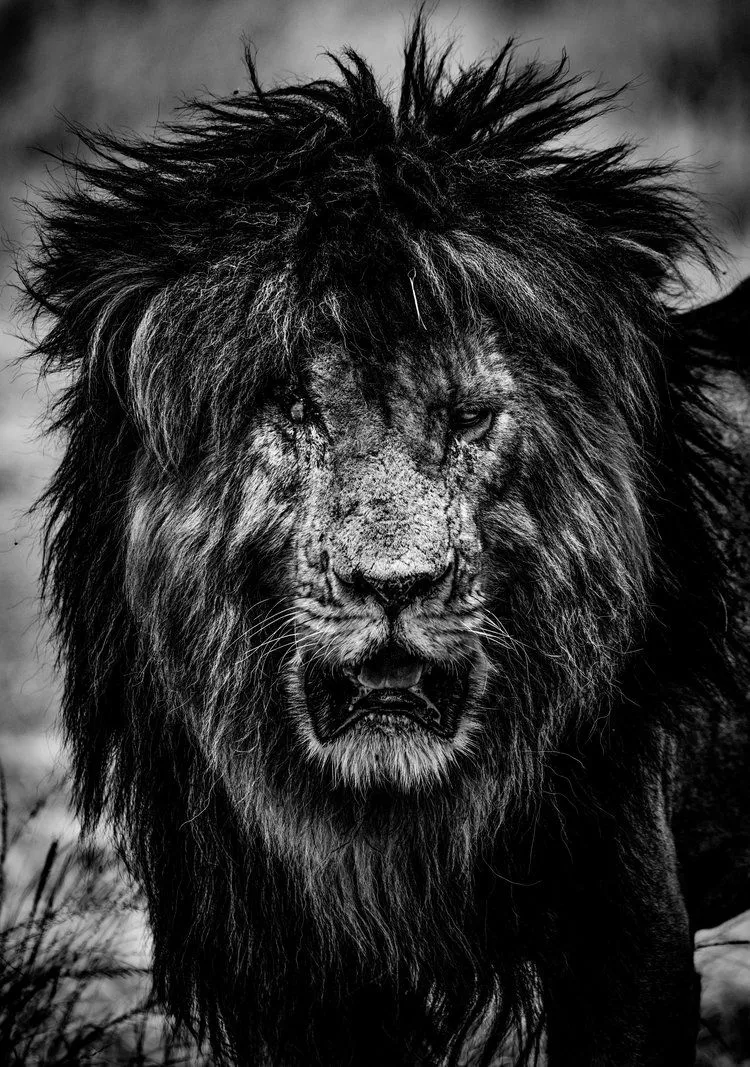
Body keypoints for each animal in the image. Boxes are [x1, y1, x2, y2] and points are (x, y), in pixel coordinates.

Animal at [24, 19, 750, 1067]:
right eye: (294, 407)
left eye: (469, 417)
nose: (397, 586)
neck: (378, 834)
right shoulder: (299, 973)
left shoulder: (628, 929)